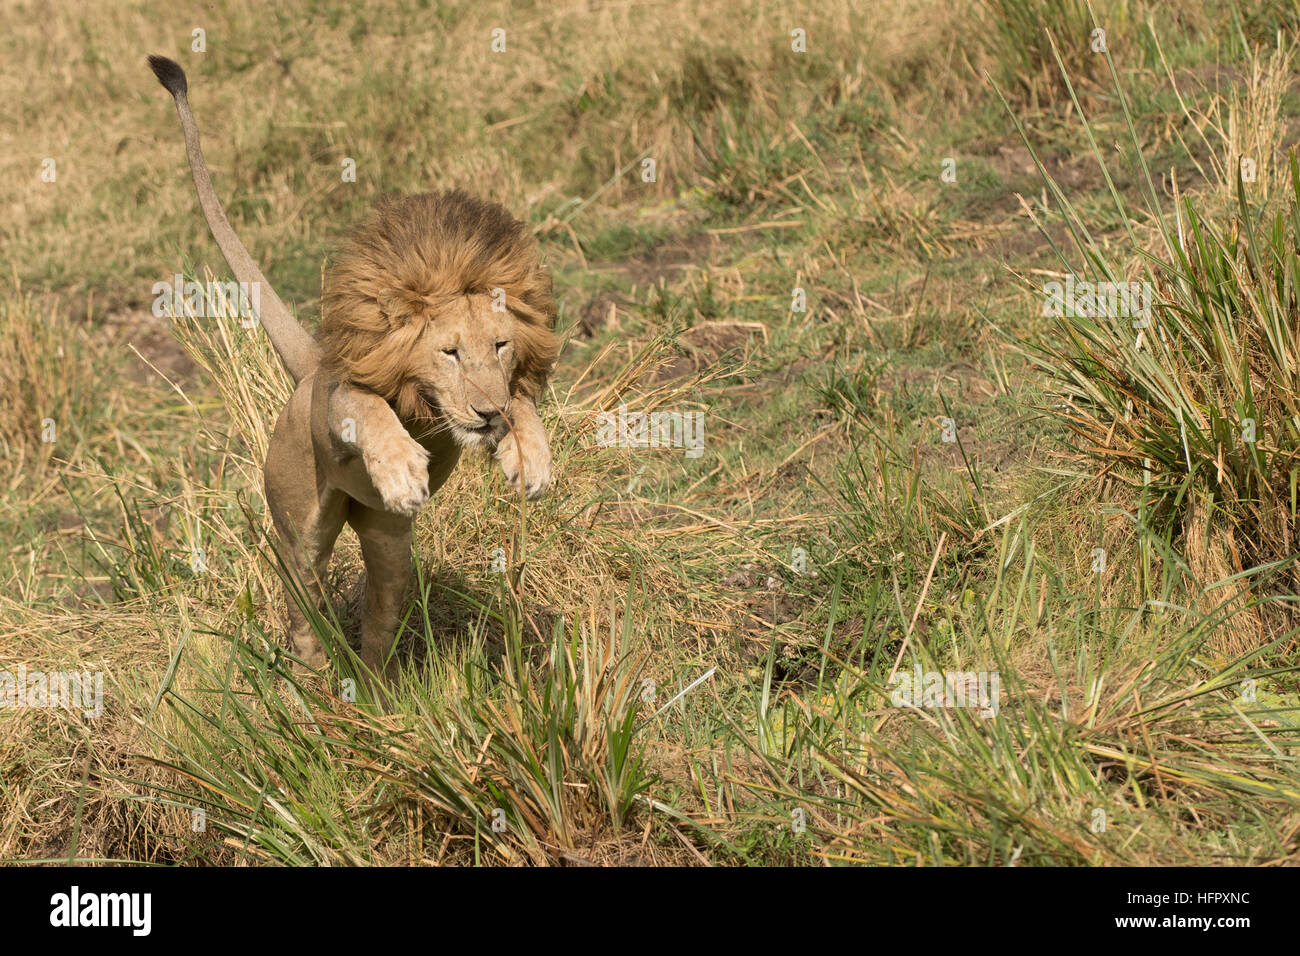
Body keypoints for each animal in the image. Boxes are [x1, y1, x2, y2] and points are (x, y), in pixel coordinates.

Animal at [148, 55, 559, 681]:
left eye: (501, 346)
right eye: (449, 351)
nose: (487, 415)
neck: (424, 401)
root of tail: (309, 370)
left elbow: (524, 403)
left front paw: (529, 460)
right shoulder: (349, 398)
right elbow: (369, 409)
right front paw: (402, 471)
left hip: (390, 546)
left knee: (380, 617)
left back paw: (377, 688)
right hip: (301, 526)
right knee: (301, 599)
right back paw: (313, 674)